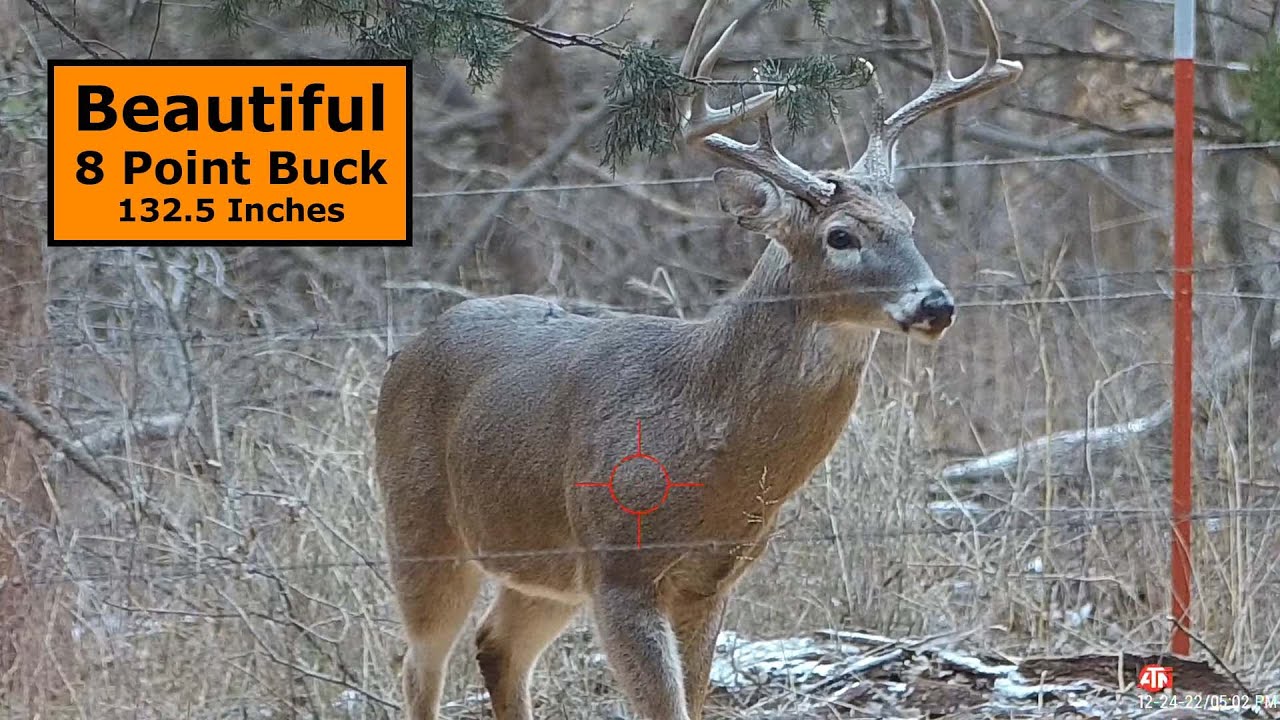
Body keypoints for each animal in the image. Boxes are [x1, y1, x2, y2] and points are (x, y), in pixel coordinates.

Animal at [374, 1, 1021, 718]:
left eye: (908, 222)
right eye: (840, 236)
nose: (936, 303)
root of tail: (407, 351)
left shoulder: (708, 580)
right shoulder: (618, 566)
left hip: (543, 564)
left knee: (496, 645)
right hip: (419, 523)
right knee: (418, 665)